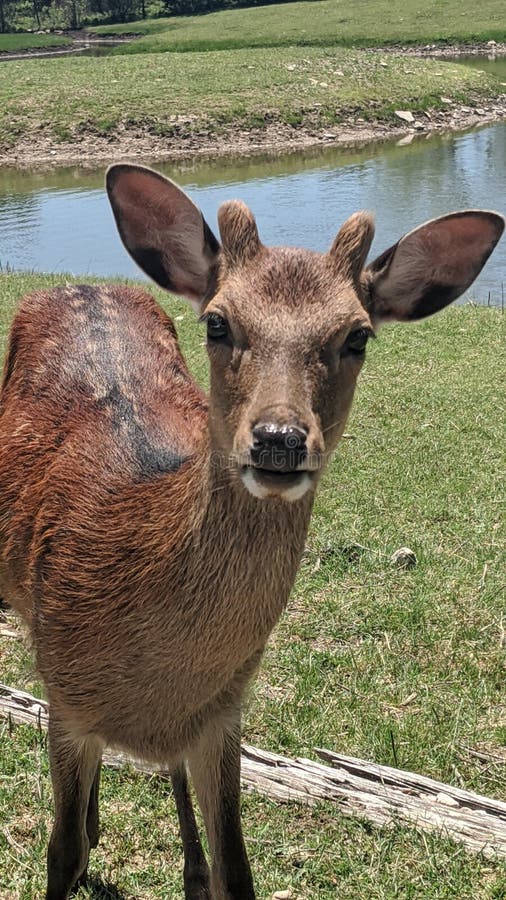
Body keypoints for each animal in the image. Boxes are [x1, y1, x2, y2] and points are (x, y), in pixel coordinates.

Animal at [0, 163, 503, 900]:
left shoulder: (222, 713)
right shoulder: (64, 700)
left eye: (358, 335)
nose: (278, 439)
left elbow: (237, 870)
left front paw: (198, 865)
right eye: (217, 321)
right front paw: (83, 849)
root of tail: (81, 284)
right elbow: (59, 853)